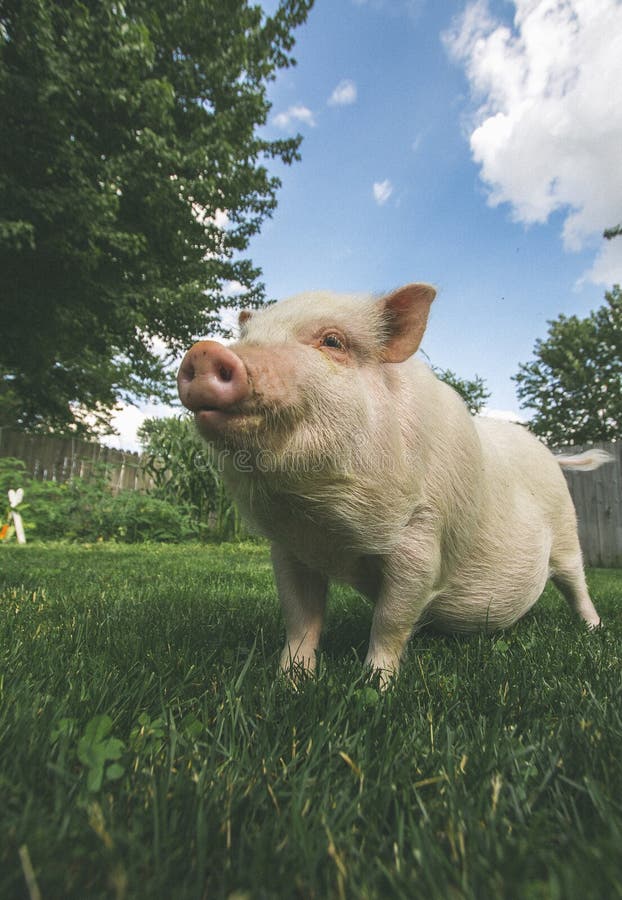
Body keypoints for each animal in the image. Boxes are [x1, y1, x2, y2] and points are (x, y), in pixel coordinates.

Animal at [177, 284, 607, 682]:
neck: (326, 524)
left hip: (566, 531)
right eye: (249, 337)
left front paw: (375, 686)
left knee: (578, 583)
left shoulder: (421, 538)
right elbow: (300, 619)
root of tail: (552, 454)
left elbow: (390, 620)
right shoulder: (289, 547)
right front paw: (290, 681)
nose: (203, 352)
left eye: (332, 341)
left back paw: (594, 630)